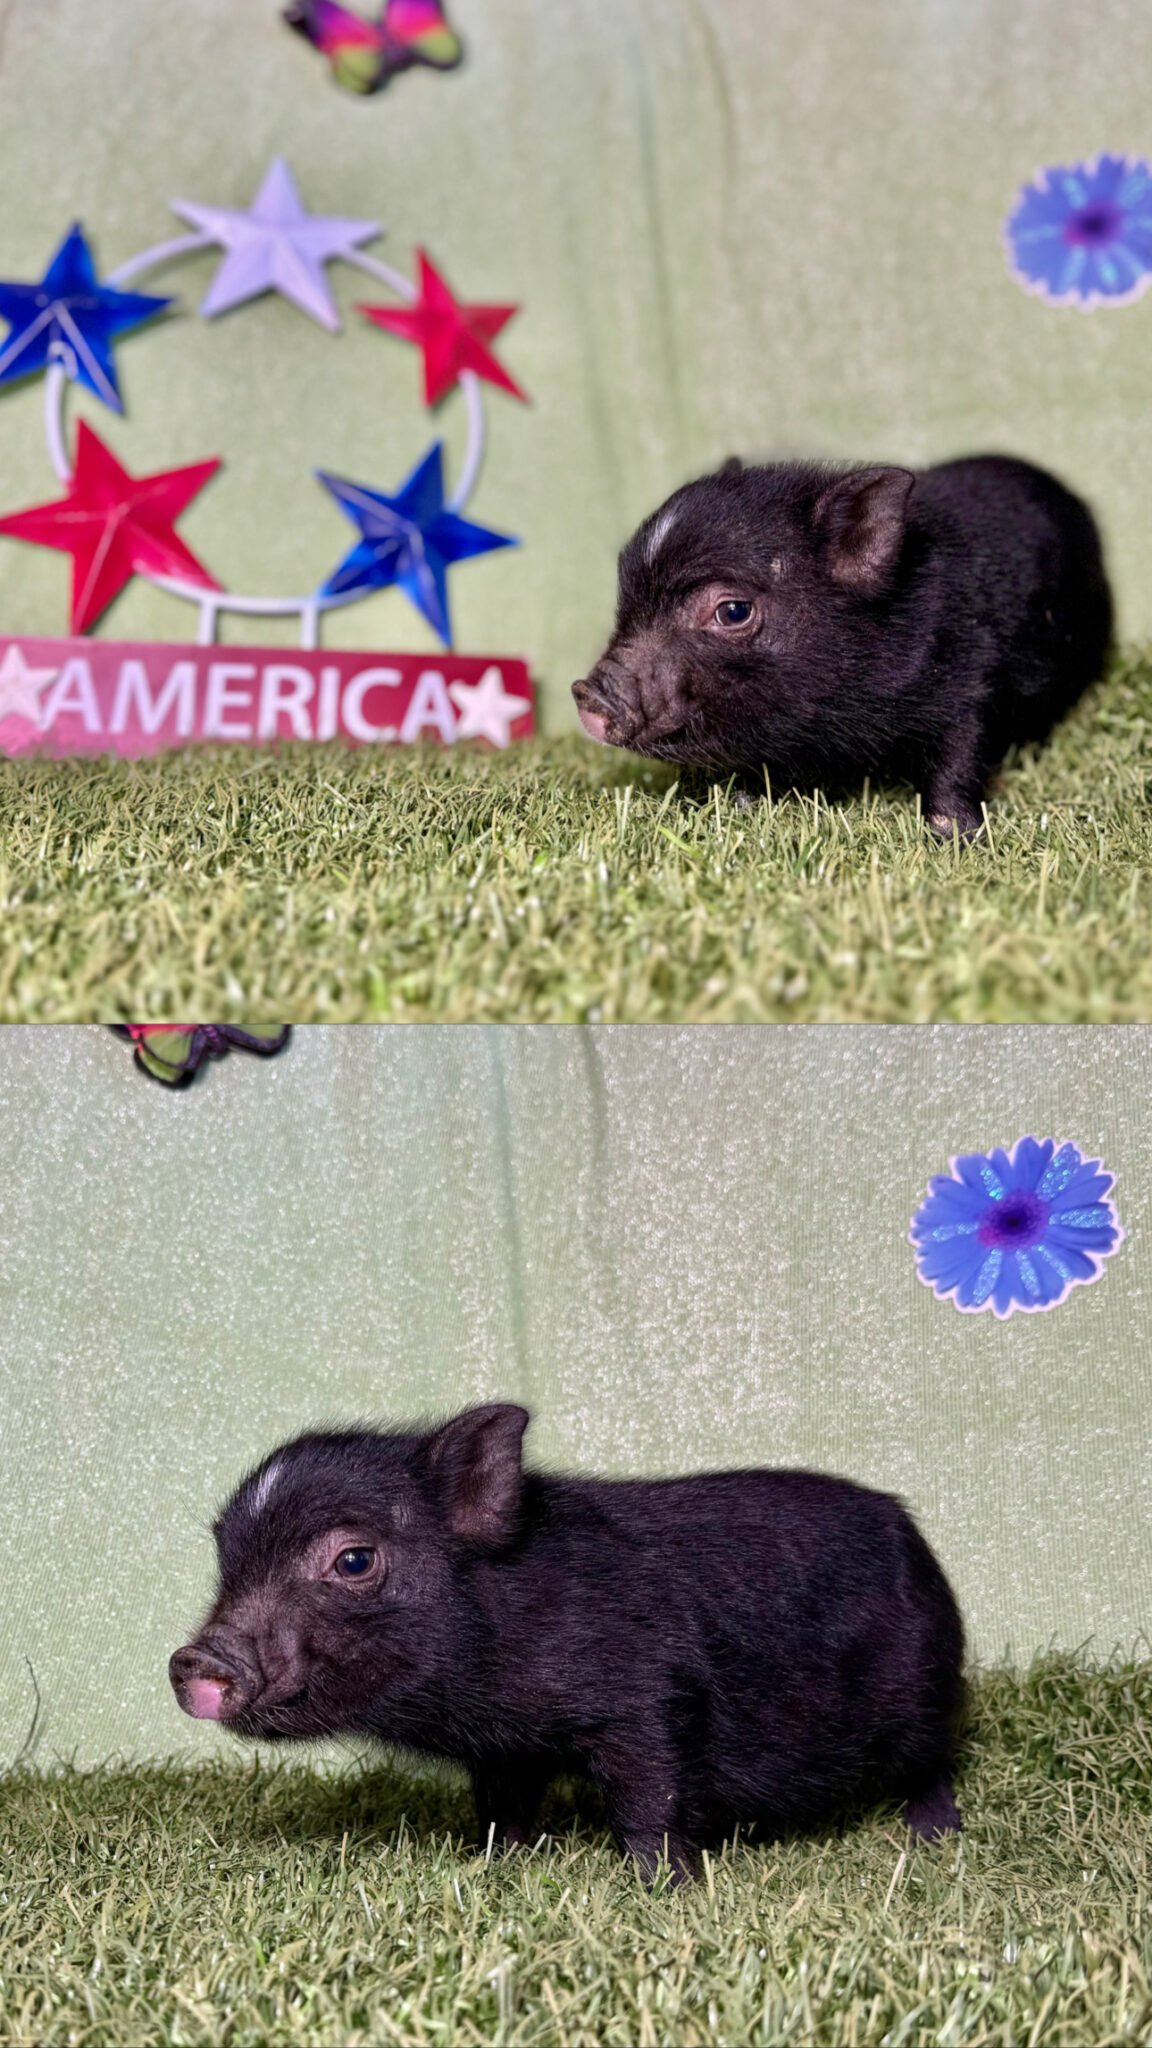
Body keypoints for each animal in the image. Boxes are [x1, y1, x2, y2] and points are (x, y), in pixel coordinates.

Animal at [169, 1404, 964, 1880]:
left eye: (354, 1560)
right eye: (225, 1557)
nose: (192, 1661)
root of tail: (915, 1535)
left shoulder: (652, 1704)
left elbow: (653, 1802)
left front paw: (660, 1890)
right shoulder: (504, 1749)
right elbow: (501, 1810)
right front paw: (494, 1868)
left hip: (925, 1690)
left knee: (934, 1766)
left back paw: (932, 1840)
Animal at [571, 454, 1113, 834]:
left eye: (733, 611)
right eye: (624, 592)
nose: (586, 694)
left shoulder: (973, 687)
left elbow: (958, 762)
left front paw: (955, 836)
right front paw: (741, 807)